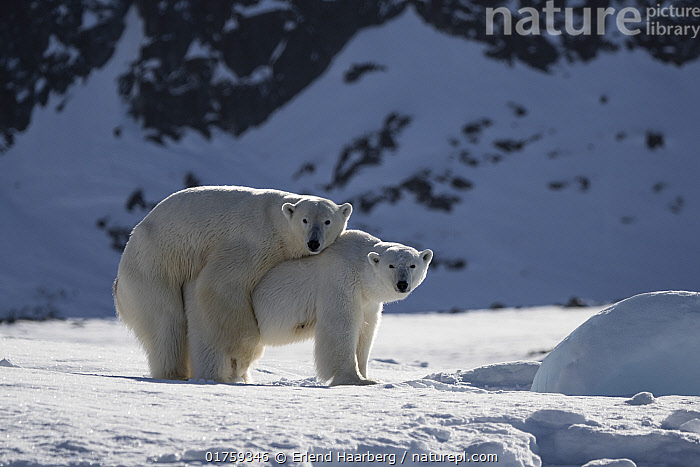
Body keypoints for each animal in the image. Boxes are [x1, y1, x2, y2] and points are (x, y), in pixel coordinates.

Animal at [113, 185, 352, 383]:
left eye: (327, 221)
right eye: (305, 220)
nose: (313, 243)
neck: (276, 223)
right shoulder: (251, 242)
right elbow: (219, 285)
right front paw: (241, 357)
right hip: (153, 267)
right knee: (166, 321)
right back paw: (175, 373)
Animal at [251, 229, 433, 386]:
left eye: (412, 265)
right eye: (391, 265)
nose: (402, 284)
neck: (360, 268)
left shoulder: (367, 300)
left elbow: (367, 331)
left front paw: (367, 375)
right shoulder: (340, 277)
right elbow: (341, 325)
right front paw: (356, 379)